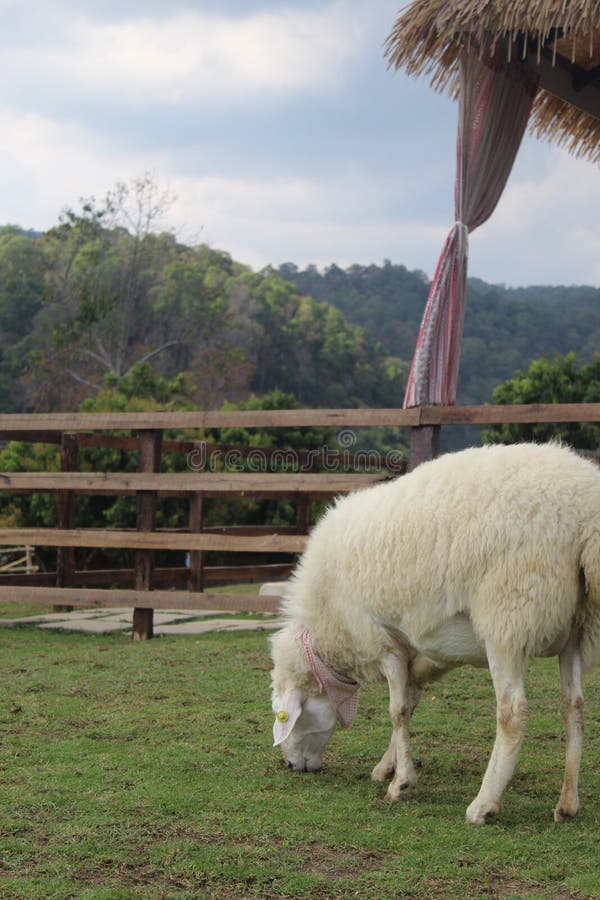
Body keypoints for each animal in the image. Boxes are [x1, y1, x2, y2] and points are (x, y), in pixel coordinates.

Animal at [269, 442, 600, 824]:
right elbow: (410, 704)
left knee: (513, 713)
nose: (290, 765)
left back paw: (484, 804)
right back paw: (568, 803)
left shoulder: (383, 639)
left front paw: (400, 784)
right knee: (574, 706)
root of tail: (586, 514)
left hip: (508, 616)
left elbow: (397, 710)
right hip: (575, 629)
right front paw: (388, 767)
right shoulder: (422, 652)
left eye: (285, 715)